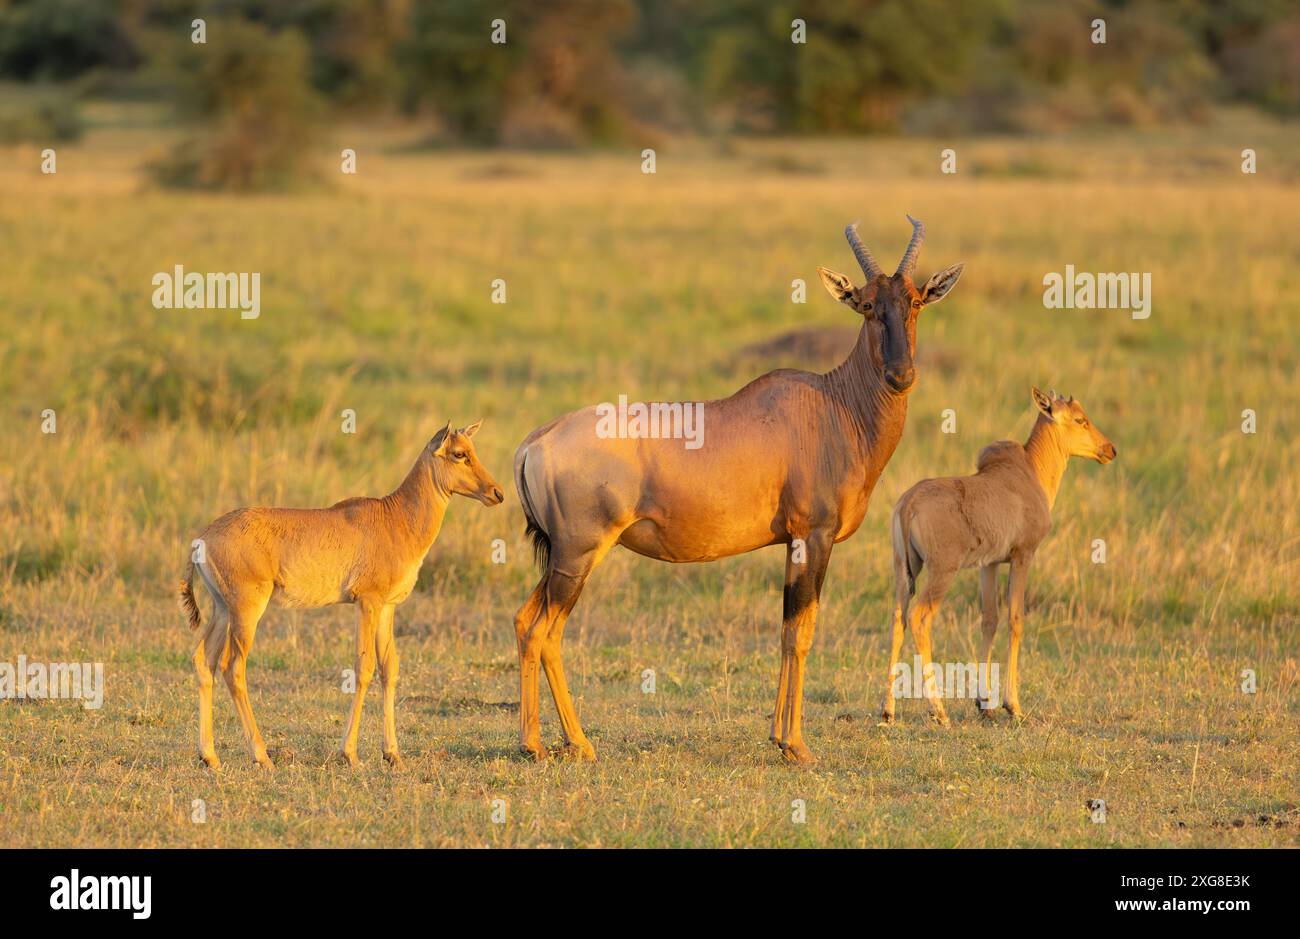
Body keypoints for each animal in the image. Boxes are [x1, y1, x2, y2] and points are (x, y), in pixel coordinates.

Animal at [179, 422, 504, 769]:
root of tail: (202, 539)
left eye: (472, 450)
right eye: (459, 453)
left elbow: (389, 669)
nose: (497, 493)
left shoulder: (387, 607)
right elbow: (364, 668)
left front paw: (392, 754)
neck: (394, 517)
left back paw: (210, 756)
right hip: (247, 609)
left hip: (222, 609)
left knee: (204, 661)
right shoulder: (367, 602)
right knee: (233, 667)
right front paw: (350, 753)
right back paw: (262, 756)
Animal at [512, 217, 964, 765]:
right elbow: (804, 632)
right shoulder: (815, 537)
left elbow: (787, 630)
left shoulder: (791, 543)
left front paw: (778, 737)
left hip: (558, 556)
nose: (901, 376)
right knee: (546, 631)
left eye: (915, 301)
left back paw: (535, 741)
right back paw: (574, 743)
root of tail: (536, 441)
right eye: (867, 305)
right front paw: (797, 745)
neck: (832, 405)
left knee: (524, 622)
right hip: (578, 555)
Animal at [880, 389, 1116, 725]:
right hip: (942, 572)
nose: (1109, 449)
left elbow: (989, 619)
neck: (1026, 473)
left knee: (898, 619)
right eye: (1080, 419)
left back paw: (888, 710)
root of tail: (910, 502)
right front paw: (1012, 705)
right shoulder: (1022, 556)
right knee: (920, 618)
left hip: (904, 570)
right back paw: (939, 711)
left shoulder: (989, 564)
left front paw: (985, 703)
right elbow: (1015, 619)